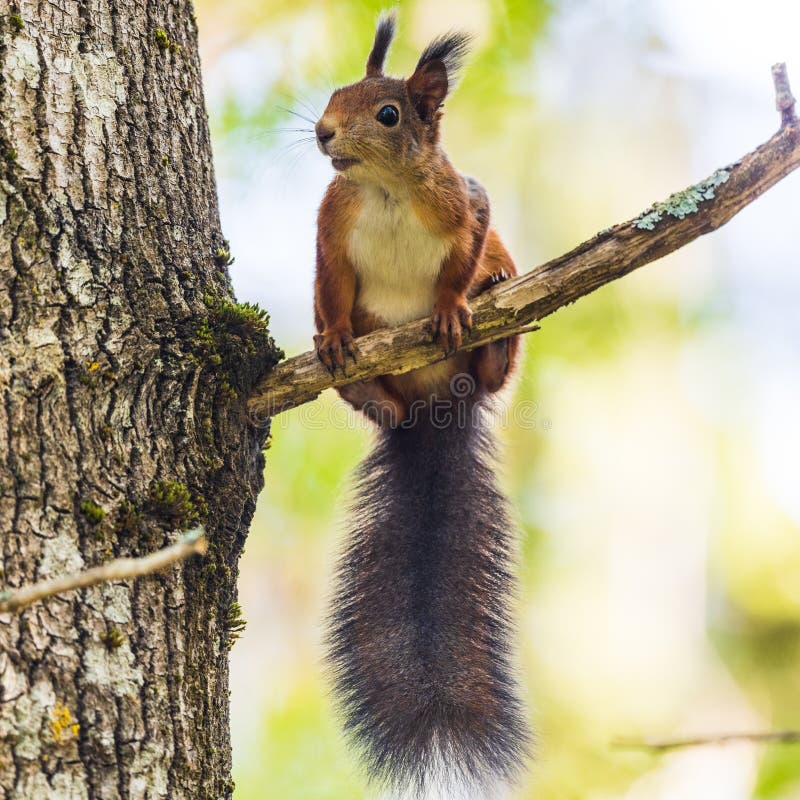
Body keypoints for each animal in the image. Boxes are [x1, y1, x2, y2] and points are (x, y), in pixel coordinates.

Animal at [313, 10, 530, 798]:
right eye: (332, 95)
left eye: (388, 114)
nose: (323, 132)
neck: (383, 189)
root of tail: (436, 408)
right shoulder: (330, 227)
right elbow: (329, 287)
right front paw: (333, 337)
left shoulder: (467, 203)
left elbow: (464, 254)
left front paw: (452, 305)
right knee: (378, 400)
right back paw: (367, 393)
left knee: (494, 359)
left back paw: (492, 335)